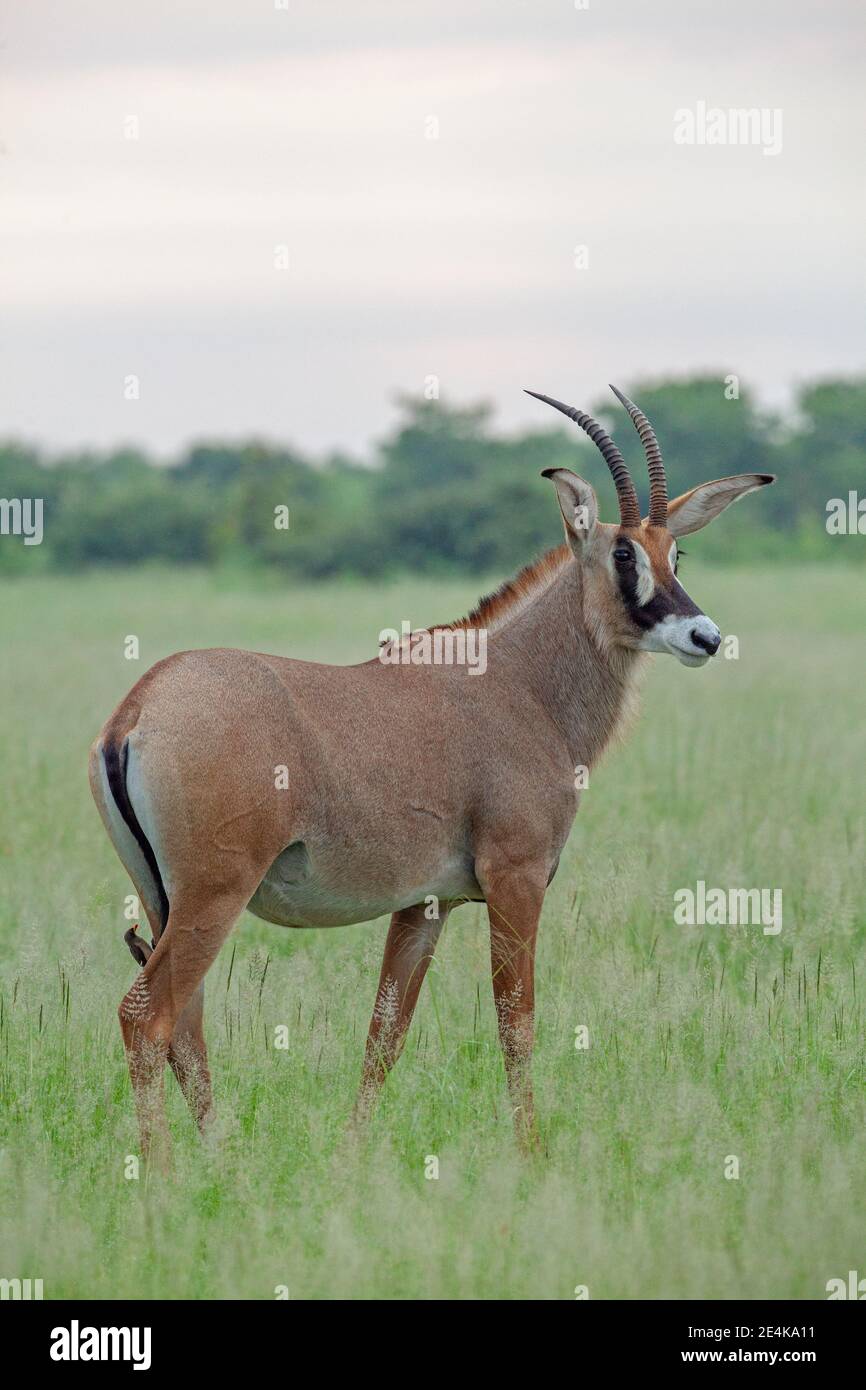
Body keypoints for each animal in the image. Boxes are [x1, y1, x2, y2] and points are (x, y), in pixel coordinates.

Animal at [90, 386, 774, 1159]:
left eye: (675, 551)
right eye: (622, 553)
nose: (704, 637)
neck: (519, 682)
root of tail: (137, 710)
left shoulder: (426, 903)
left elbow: (385, 1032)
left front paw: (351, 1156)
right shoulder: (515, 878)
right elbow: (516, 1022)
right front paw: (531, 1155)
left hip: (164, 901)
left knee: (187, 1023)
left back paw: (222, 1157)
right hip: (214, 893)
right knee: (148, 1015)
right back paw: (168, 1171)